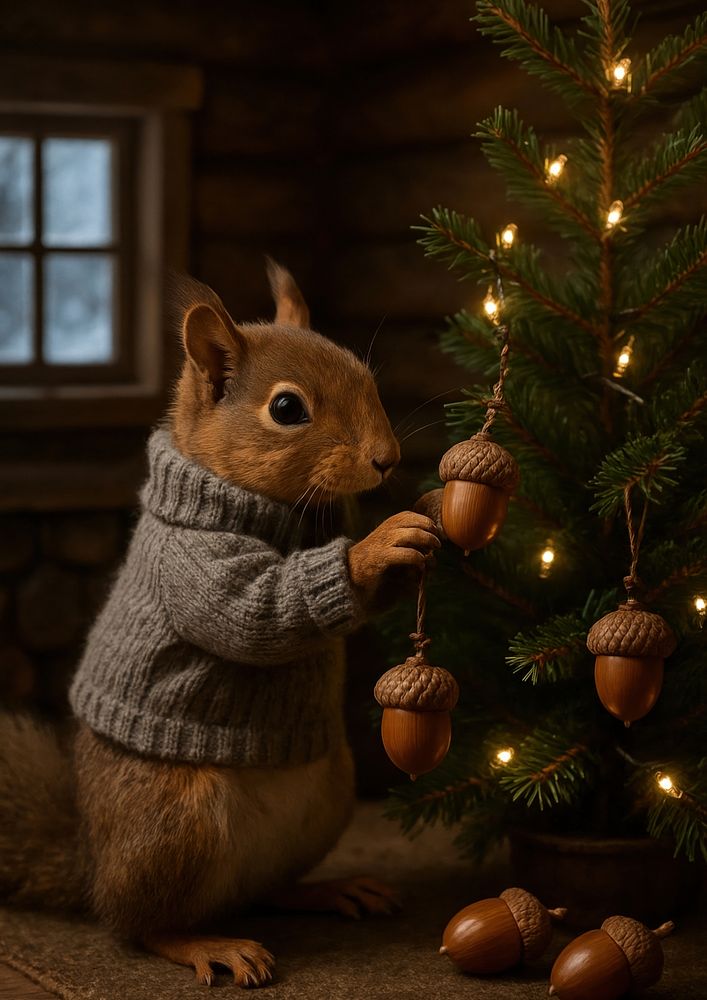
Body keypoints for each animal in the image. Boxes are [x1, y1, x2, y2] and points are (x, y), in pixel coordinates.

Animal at [0, 260, 441, 989]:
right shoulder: (193, 568)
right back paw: (206, 943)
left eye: (366, 375)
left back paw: (325, 890)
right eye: (287, 409)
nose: (387, 459)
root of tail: (92, 867)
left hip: (326, 800)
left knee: (265, 890)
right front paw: (376, 547)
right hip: (174, 824)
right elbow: (255, 613)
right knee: (142, 924)